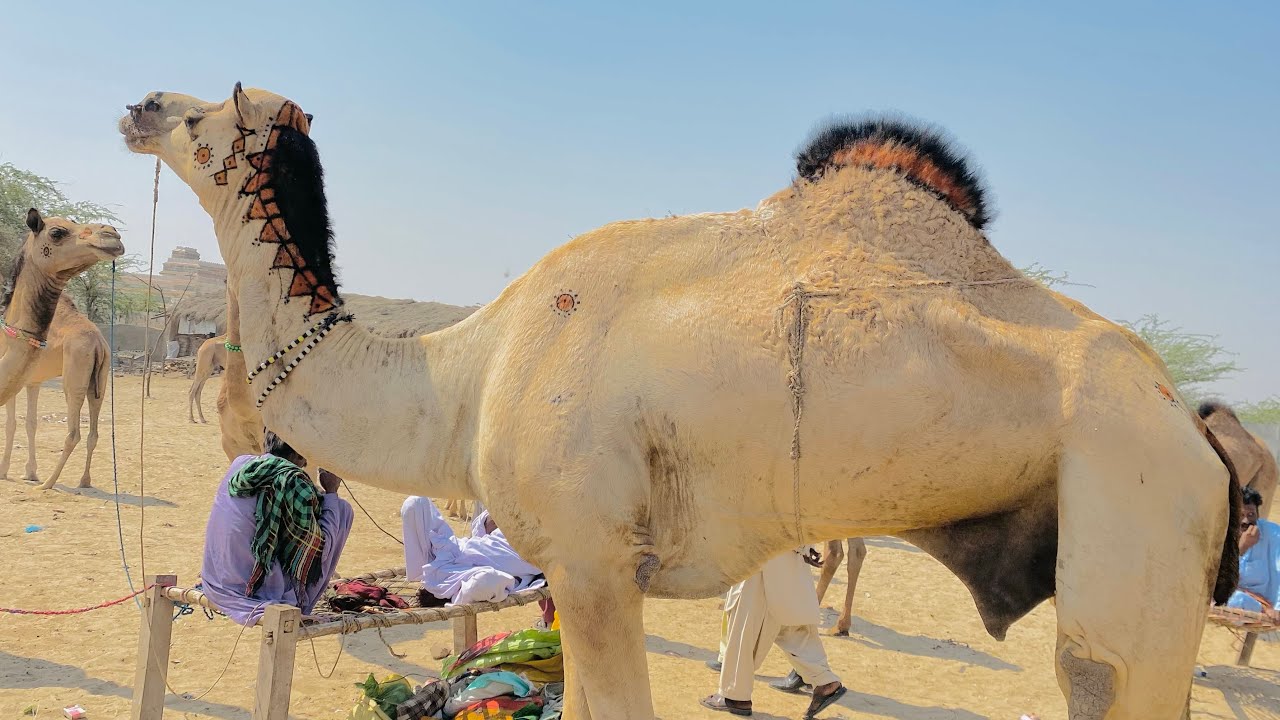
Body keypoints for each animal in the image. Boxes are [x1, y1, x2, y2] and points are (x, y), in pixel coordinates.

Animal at [0, 210, 124, 490]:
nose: (112, 234)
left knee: (73, 432)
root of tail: (99, 344)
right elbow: (31, 423)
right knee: (93, 432)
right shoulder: (32, 381)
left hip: (73, 379)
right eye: (57, 232)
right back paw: (84, 481)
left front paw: (6, 471)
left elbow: (11, 423)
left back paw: (49, 483)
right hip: (99, 383)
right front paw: (29, 471)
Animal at [122, 85, 1240, 719]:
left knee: (1099, 670)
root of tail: (1188, 421)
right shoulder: (583, 571)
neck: (464, 375)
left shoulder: (591, 559)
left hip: (1137, 497)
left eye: (197, 113)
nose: (136, 104)